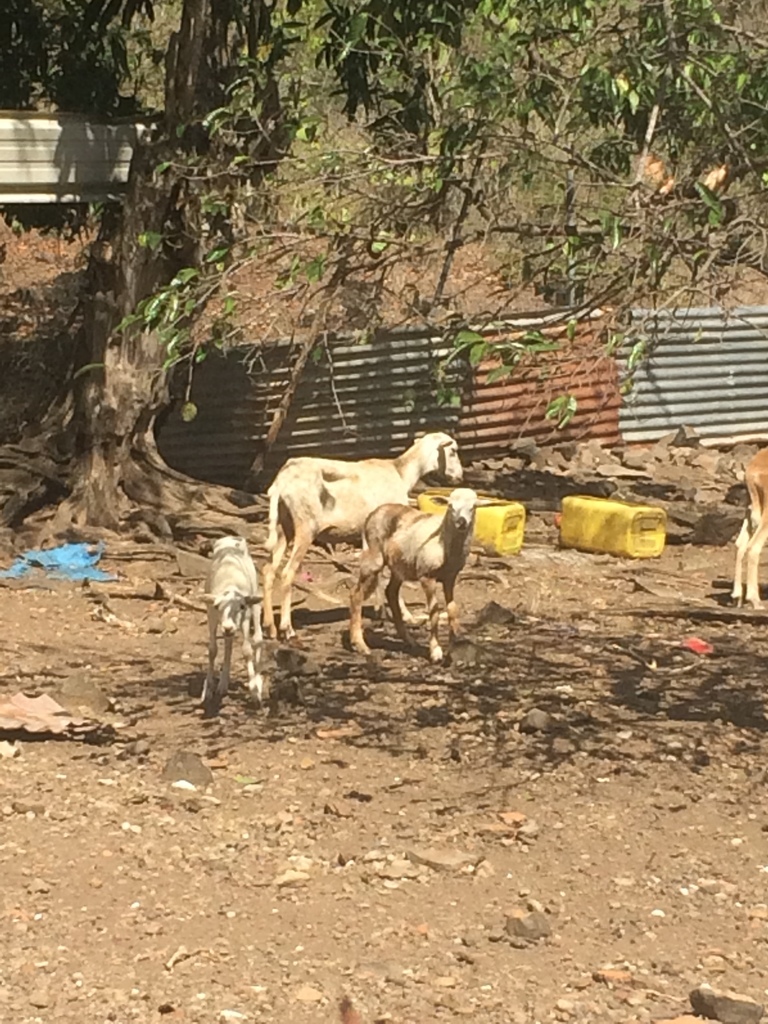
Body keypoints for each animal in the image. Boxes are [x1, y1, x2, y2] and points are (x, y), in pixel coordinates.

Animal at [201, 536, 265, 714]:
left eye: (241, 606)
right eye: (217, 606)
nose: (228, 627)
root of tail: (230, 538)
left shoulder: (245, 617)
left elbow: (247, 650)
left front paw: (254, 692)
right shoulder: (211, 615)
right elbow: (212, 650)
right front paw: (208, 689)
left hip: (256, 602)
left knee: (258, 639)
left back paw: (258, 682)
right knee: (229, 644)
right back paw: (223, 683)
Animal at [261, 432, 463, 640]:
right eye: (453, 451)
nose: (460, 476)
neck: (401, 473)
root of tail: (281, 481)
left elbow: (378, 575)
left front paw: (380, 612)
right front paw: (404, 615)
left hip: (284, 525)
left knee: (268, 570)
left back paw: (270, 627)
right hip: (305, 526)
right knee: (287, 573)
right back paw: (287, 628)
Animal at [349, 487, 478, 663]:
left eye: (474, 506)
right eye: (450, 506)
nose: (461, 522)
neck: (443, 542)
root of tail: (375, 512)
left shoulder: (450, 577)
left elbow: (452, 610)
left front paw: (455, 646)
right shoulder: (426, 575)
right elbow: (434, 613)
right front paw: (436, 652)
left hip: (399, 565)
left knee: (391, 592)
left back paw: (409, 641)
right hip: (373, 556)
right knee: (356, 595)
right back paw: (360, 645)